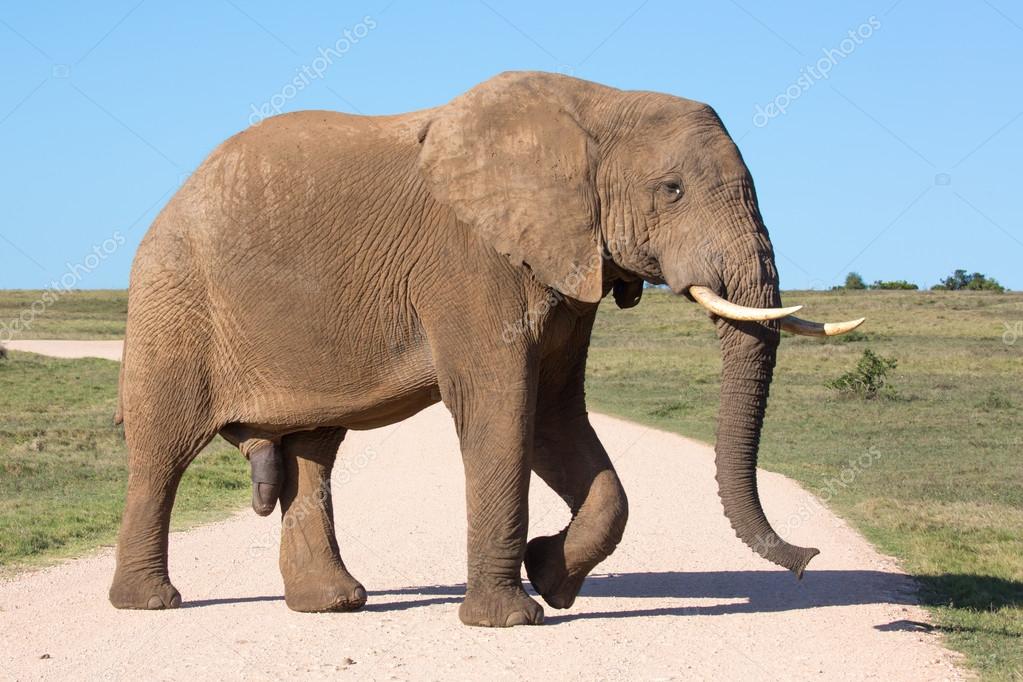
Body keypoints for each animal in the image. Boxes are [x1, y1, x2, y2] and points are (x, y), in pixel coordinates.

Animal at [109, 71, 862, 627]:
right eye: (671, 190)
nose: (806, 560)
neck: (596, 107)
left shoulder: (565, 261)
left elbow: (556, 416)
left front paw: (551, 577)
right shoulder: (469, 259)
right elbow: (501, 405)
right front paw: (510, 617)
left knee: (313, 453)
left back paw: (333, 605)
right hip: (172, 300)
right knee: (163, 452)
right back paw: (150, 603)